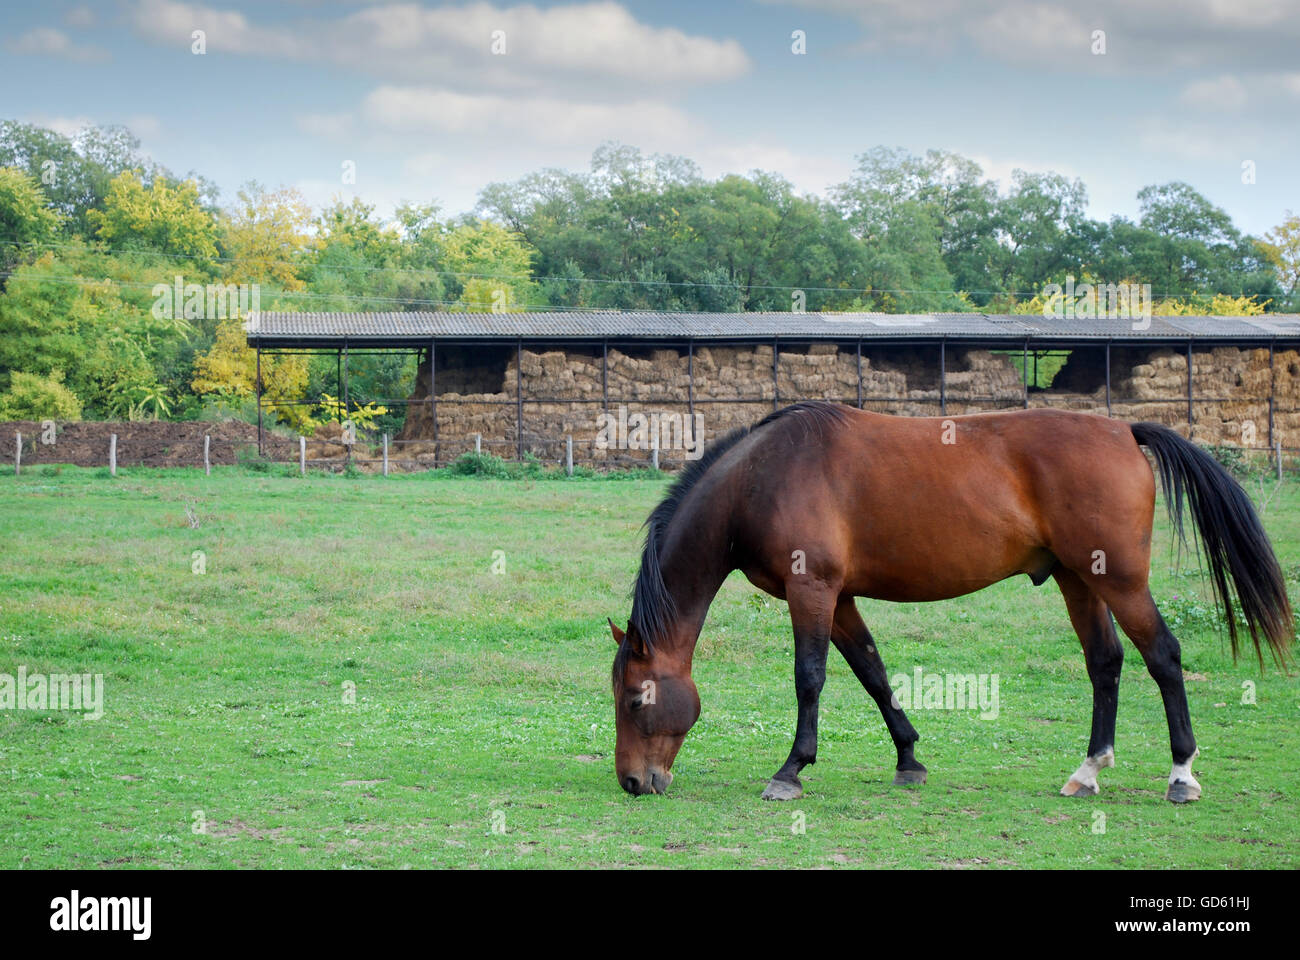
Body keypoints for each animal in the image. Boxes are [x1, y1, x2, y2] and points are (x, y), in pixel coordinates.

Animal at [608, 401, 1292, 803]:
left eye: (636, 697)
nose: (634, 782)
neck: (763, 478)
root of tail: (1123, 429)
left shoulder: (813, 591)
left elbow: (810, 678)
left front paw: (791, 770)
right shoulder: (841, 597)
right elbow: (873, 673)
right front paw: (909, 758)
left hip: (1121, 582)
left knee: (1165, 657)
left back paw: (1181, 775)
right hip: (1079, 580)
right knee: (1106, 663)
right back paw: (1089, 770)